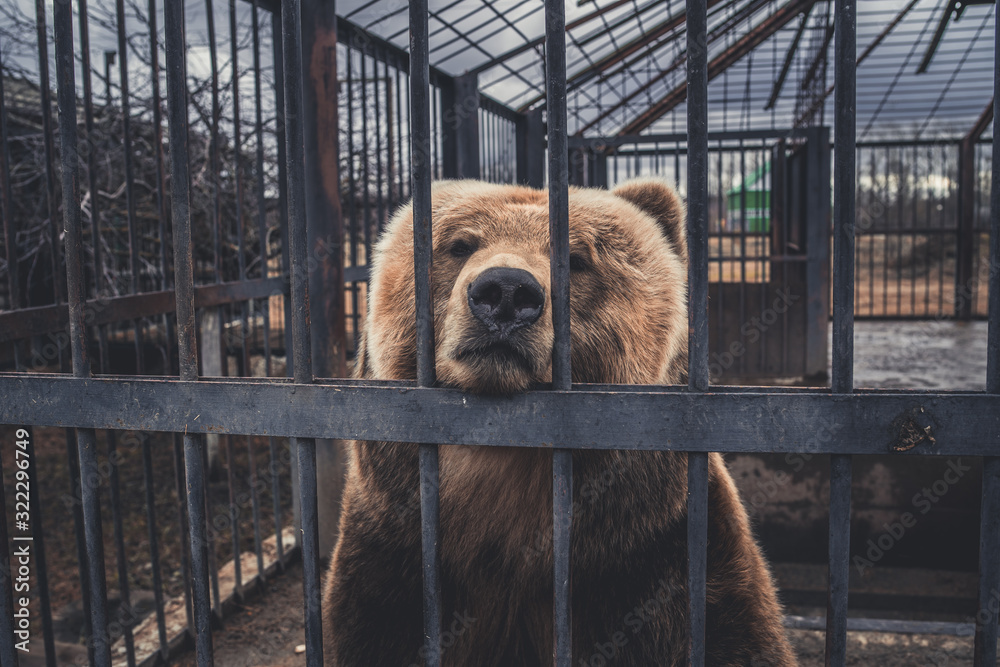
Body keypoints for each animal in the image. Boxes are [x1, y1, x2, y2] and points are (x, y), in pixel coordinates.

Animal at [322, 179, 797, 666]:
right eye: (459, 245)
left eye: (577, 258)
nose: (505, 291)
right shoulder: (391, 557)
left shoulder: (661, 559)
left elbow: (733, 635)